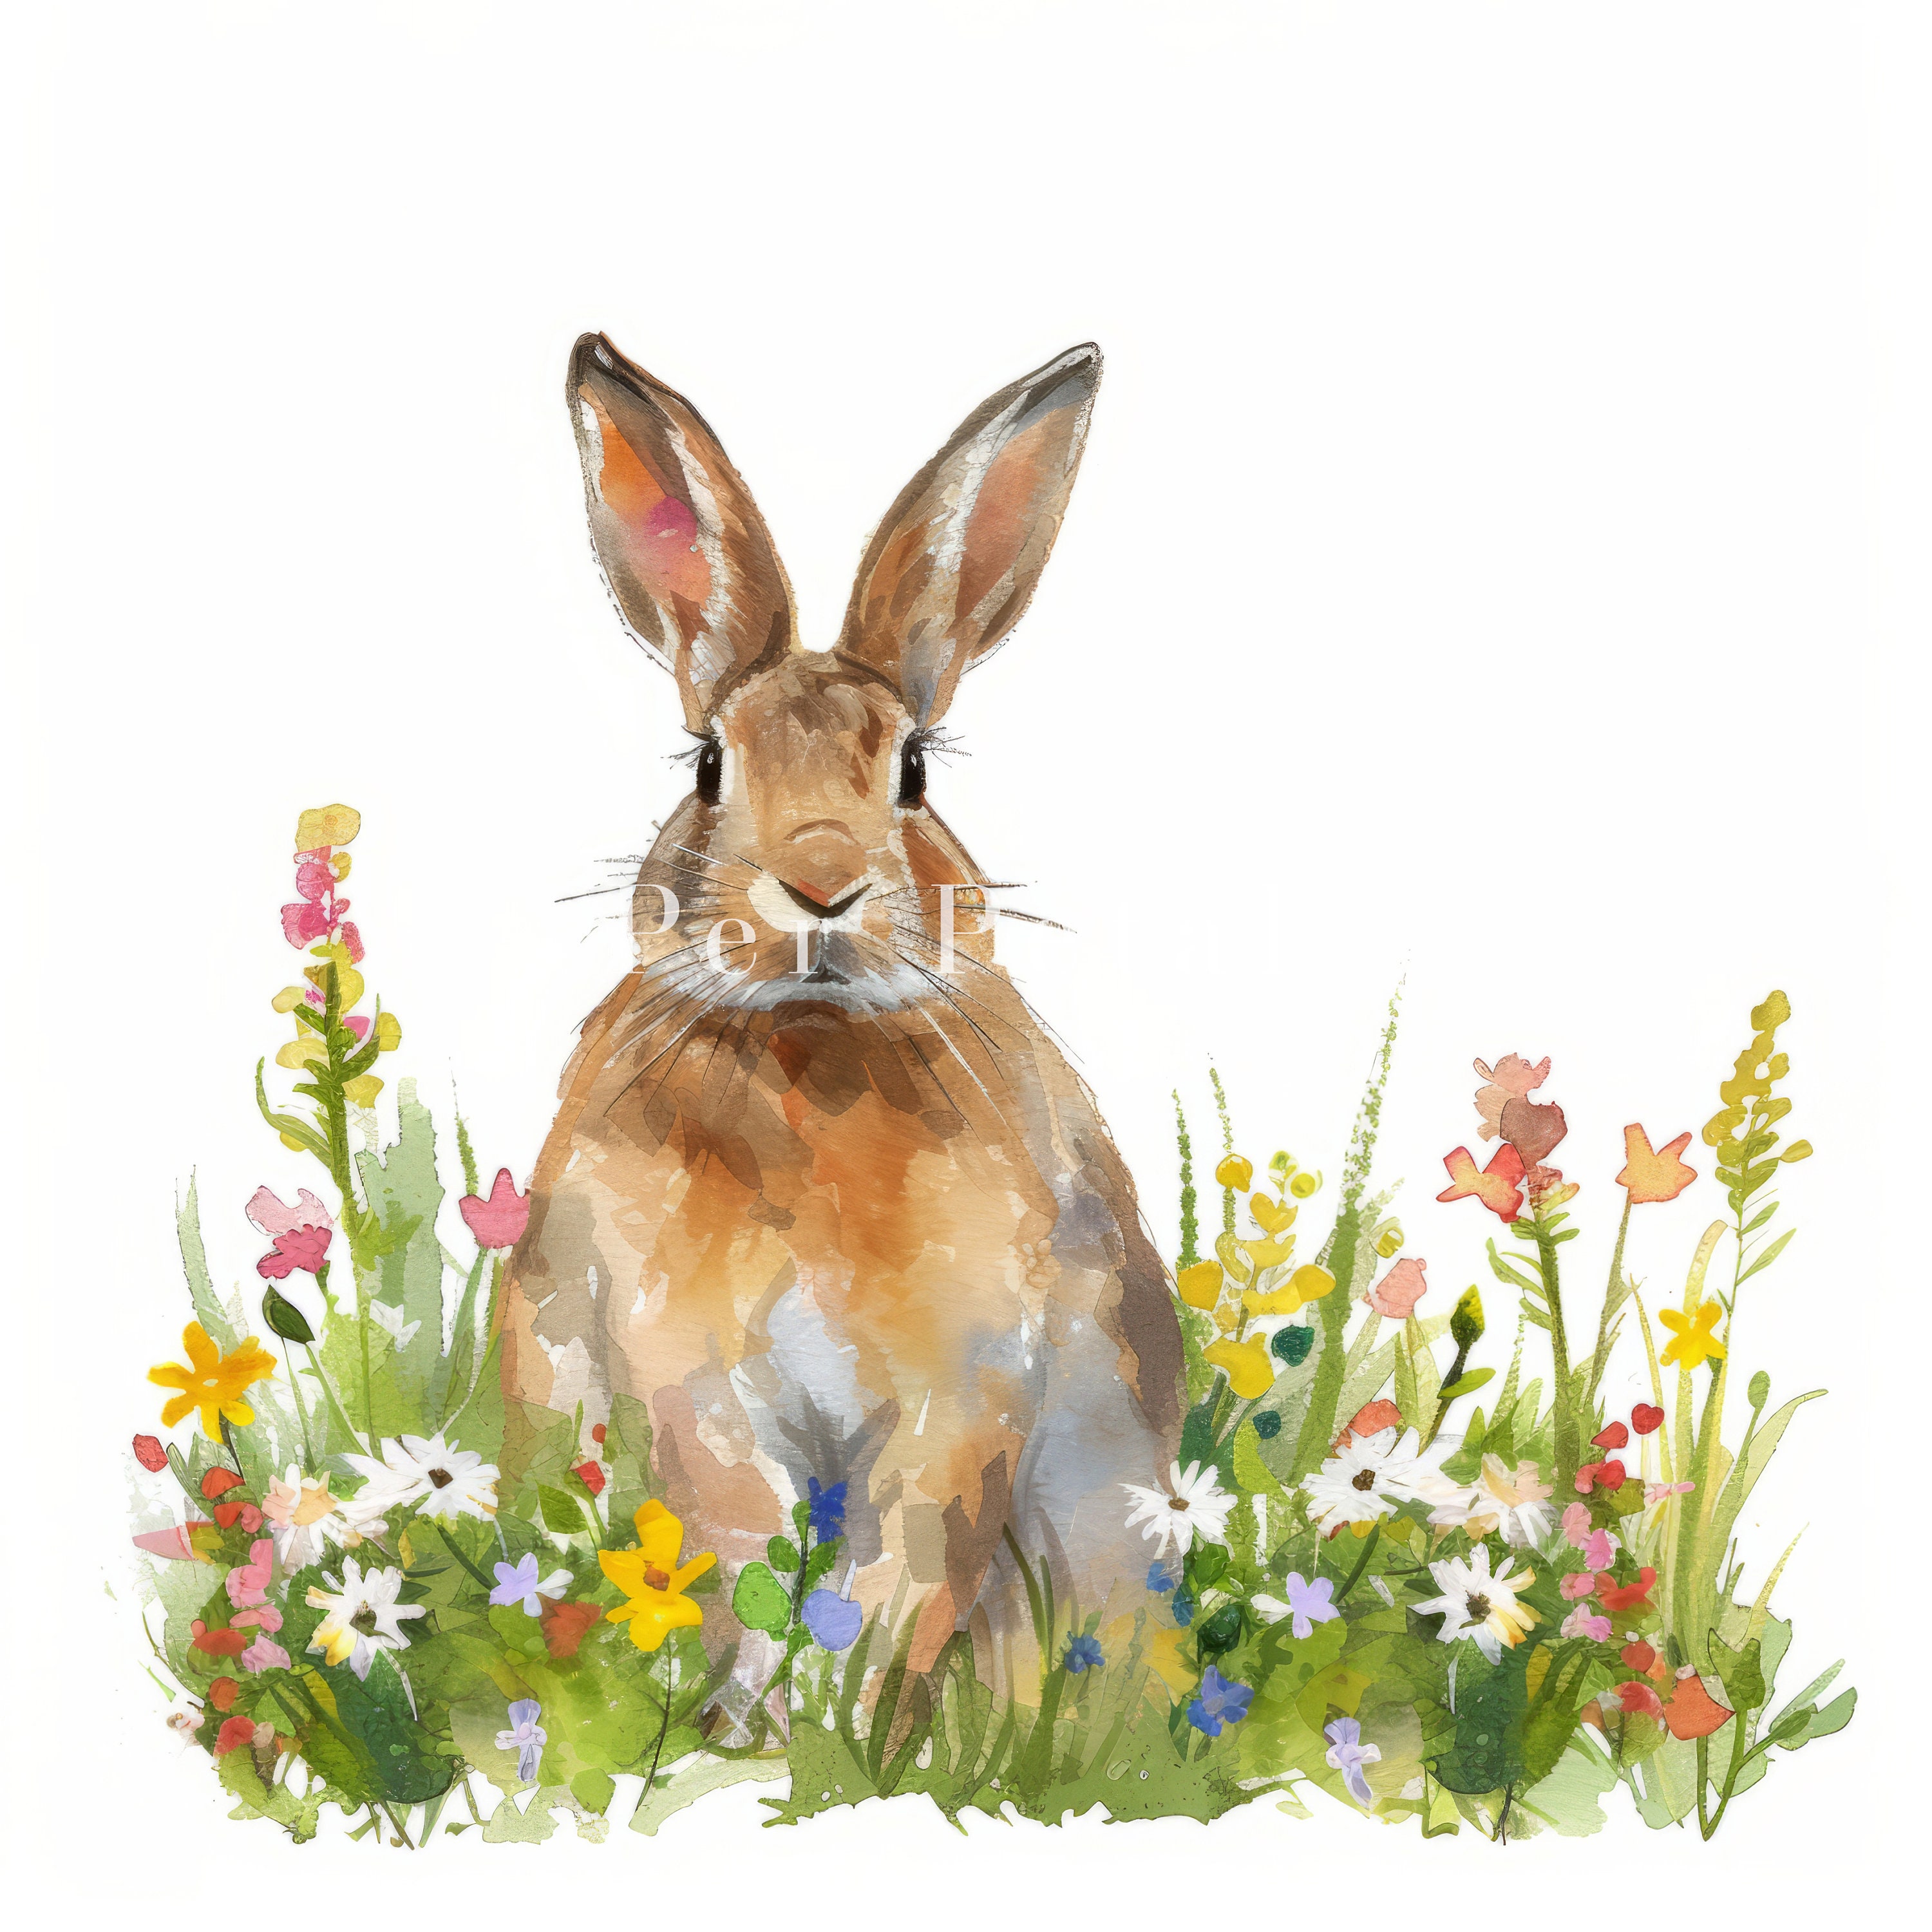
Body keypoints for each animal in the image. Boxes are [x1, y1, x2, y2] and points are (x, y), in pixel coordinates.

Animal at [501, 333, 1184, 1712]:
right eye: (708, 765)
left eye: (914, 771)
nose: (820, 885)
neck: (810, 1047)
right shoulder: (682, 1370)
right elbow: (734, 1528)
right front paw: (766, 1719)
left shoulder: (967, 1391)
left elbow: (910, 1567)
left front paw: (847, 1720)